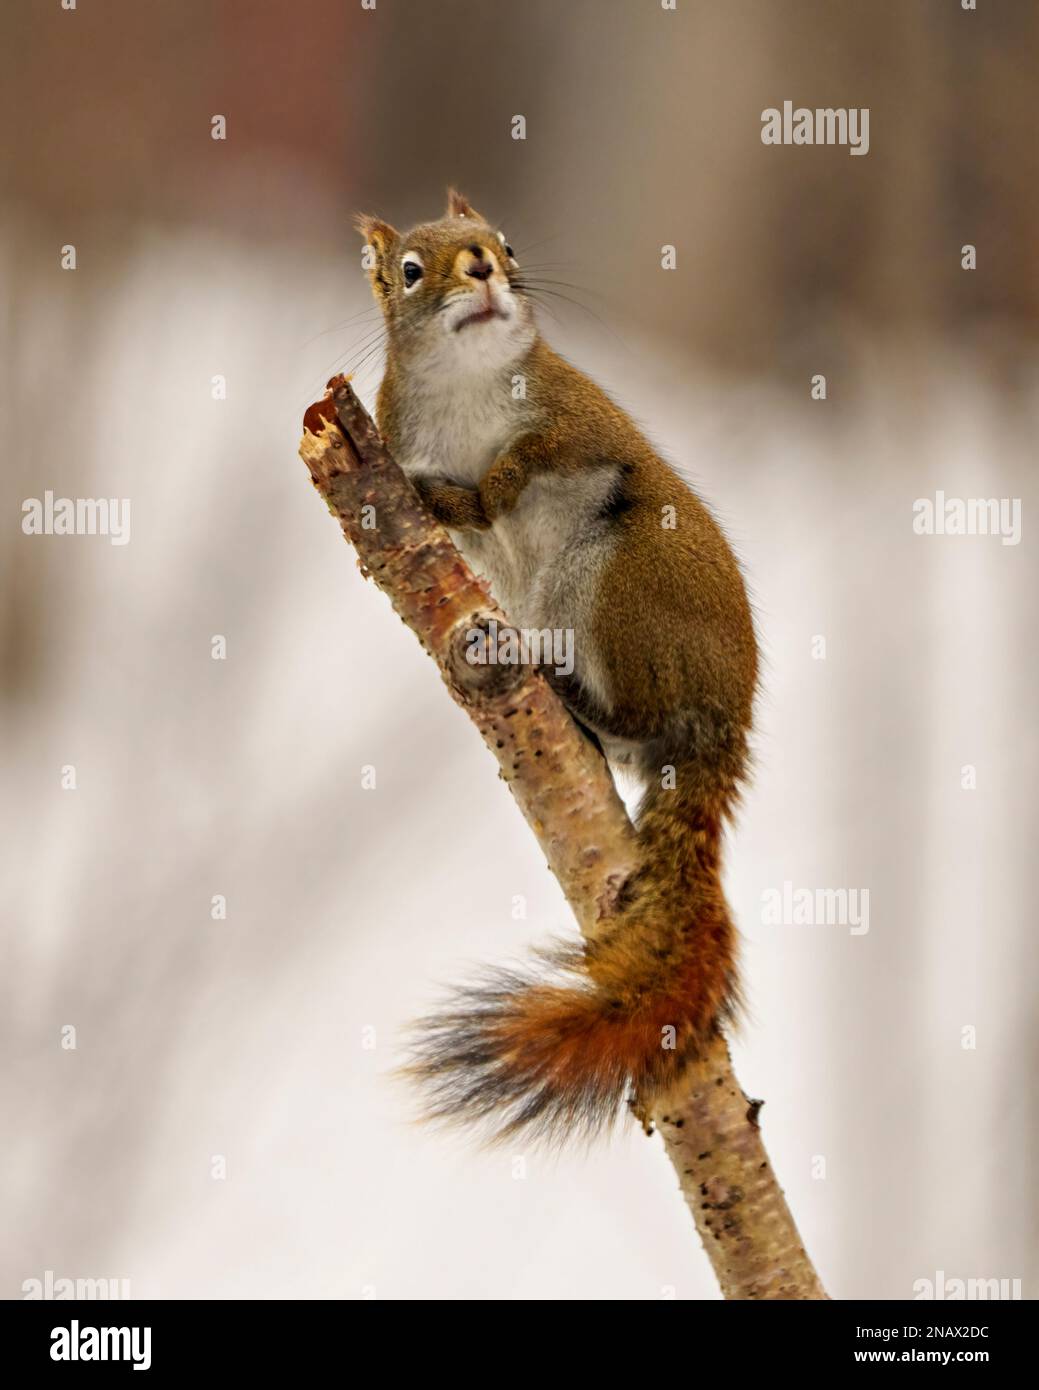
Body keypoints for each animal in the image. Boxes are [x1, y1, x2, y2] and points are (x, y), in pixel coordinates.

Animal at [356, 189, 758, 1144]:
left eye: (504, 243)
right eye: (410, 271)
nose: (481, 268)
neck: (466, 384)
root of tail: (723, 720)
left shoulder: (578, 416)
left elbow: (536, 458)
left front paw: (495, 482)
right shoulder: (400, 449)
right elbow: (445, 507)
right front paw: (447, 496)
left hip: (621, 575)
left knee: (638, 710)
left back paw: (575, 693)